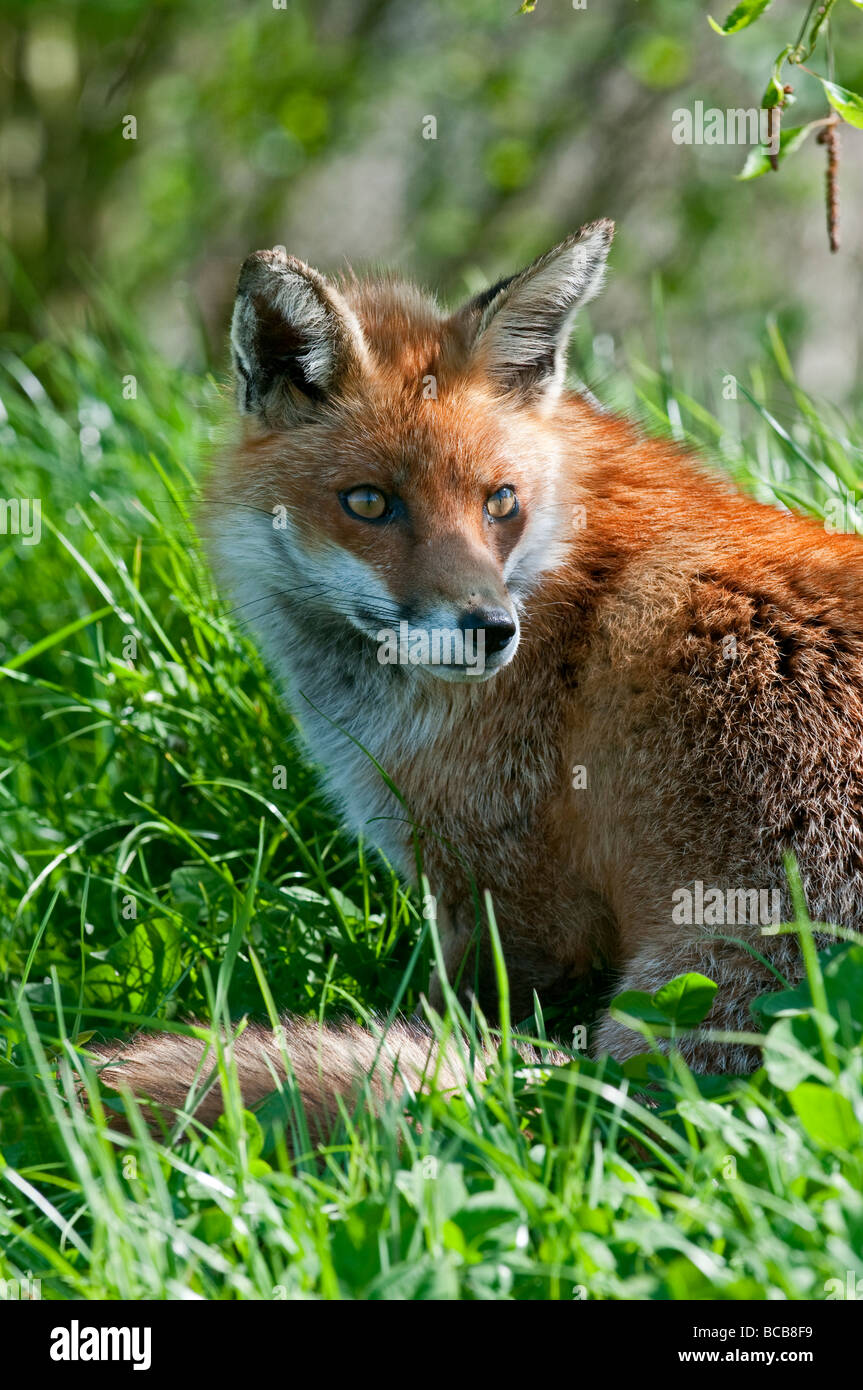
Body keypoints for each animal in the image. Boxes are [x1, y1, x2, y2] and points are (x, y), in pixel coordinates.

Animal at [94, 218, 863, 1135]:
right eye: (368, 503)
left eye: (500, 502)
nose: (490, 632)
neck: (559, 561)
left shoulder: (510, 906)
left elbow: (449, 1010)